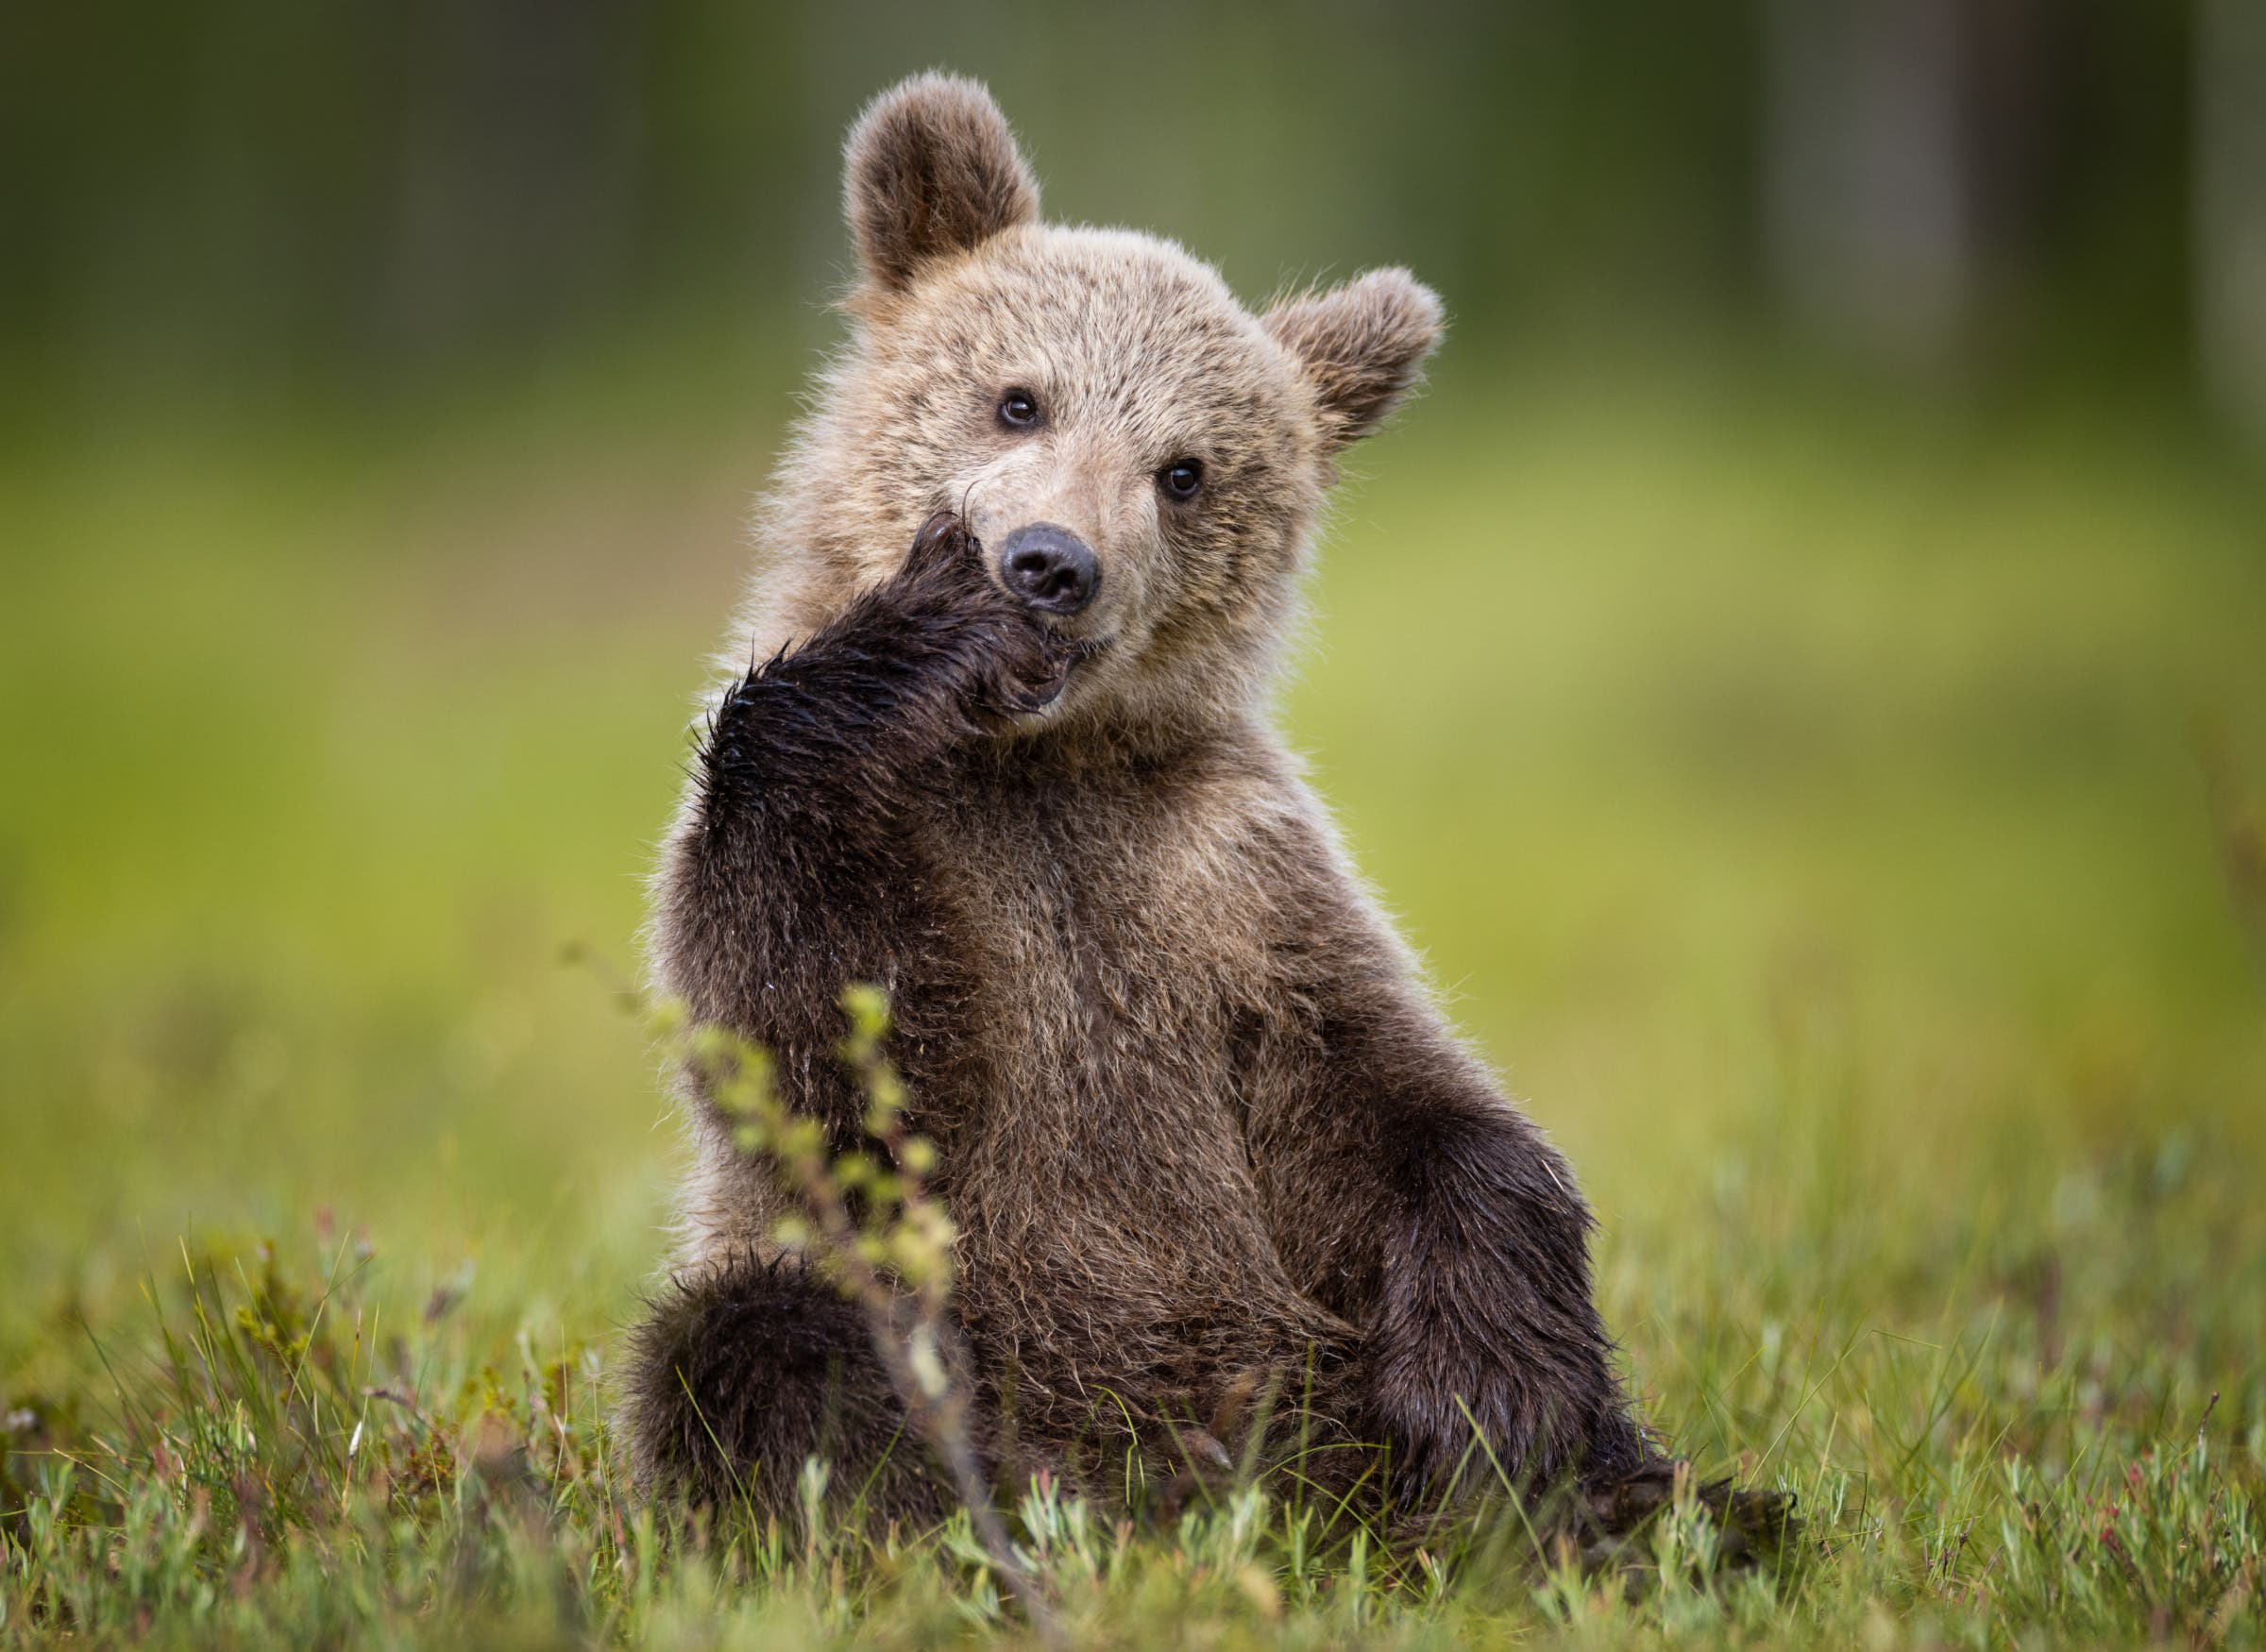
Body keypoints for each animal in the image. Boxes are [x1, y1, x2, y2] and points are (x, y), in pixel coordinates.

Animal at [623, 71, 1667, 1528]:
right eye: (1020, 400)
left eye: (1185, 469)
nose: (1050, 564)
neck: (1034, 765)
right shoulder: (919, 865)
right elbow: (825, 1044)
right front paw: (930, 618)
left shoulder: (1225, 873)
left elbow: (1394, 1091)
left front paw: (1498, 1402)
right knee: (757, 1340)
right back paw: (978, 1509)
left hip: (1291, 1368)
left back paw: (1609, 1504)